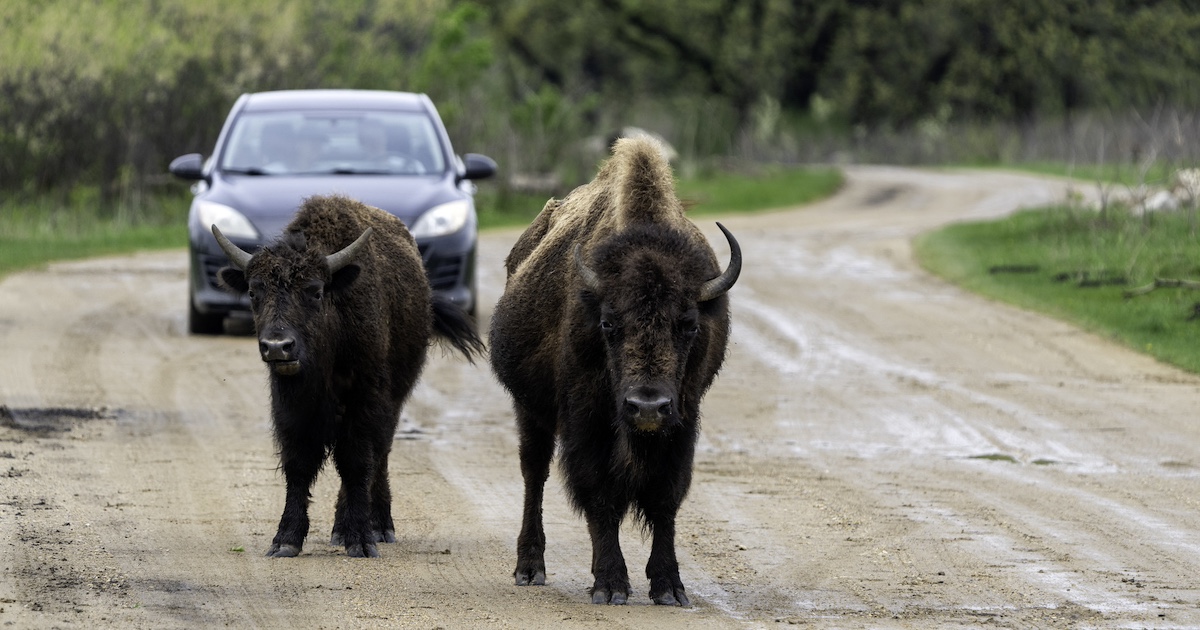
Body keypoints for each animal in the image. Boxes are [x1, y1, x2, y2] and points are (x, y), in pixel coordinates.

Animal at [214, 194, 484, 558]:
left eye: (315, 291)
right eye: (255, 293)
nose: (278, 347)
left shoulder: (364, 400)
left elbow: (356, 463)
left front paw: (360, 540)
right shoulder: (291, 409)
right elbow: (298, 465)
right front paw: (285, 540)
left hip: (395, 397)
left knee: (378, 456)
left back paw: (374, 526)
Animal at [489, 138, 741, 605]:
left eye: (689, 324)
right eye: (608, 323)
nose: (647, 407)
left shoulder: (684, 418)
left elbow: (665, 498)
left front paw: (669, 587)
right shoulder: (586, 420)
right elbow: (599, 494)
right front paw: (610, 585)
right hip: (530, 410)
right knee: (534, 473)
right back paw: (530, 568)